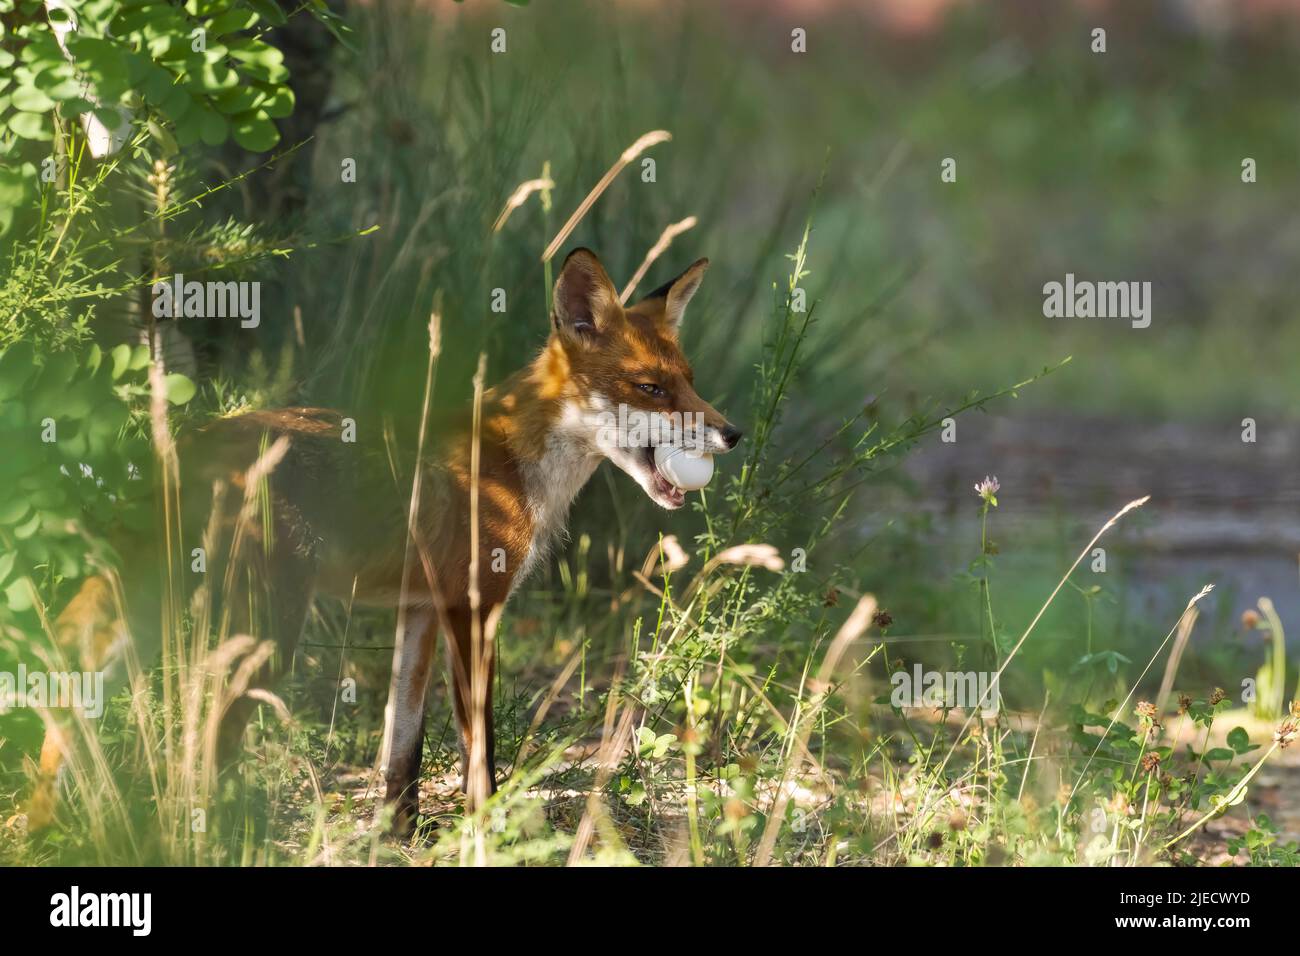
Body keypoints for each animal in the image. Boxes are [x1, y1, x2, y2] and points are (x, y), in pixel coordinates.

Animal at [27, 248, 742, 836]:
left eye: (690, 380)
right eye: (650, 388)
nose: (732, 433)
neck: (514, 458)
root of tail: (184, 449)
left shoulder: (418, 609)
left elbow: (403, 744)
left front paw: (397, 832)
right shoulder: (471, 607)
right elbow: (478, 746)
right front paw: (485, 830)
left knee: (72, 713)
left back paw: (46, 826)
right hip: (263, 636)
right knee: (201, 739)